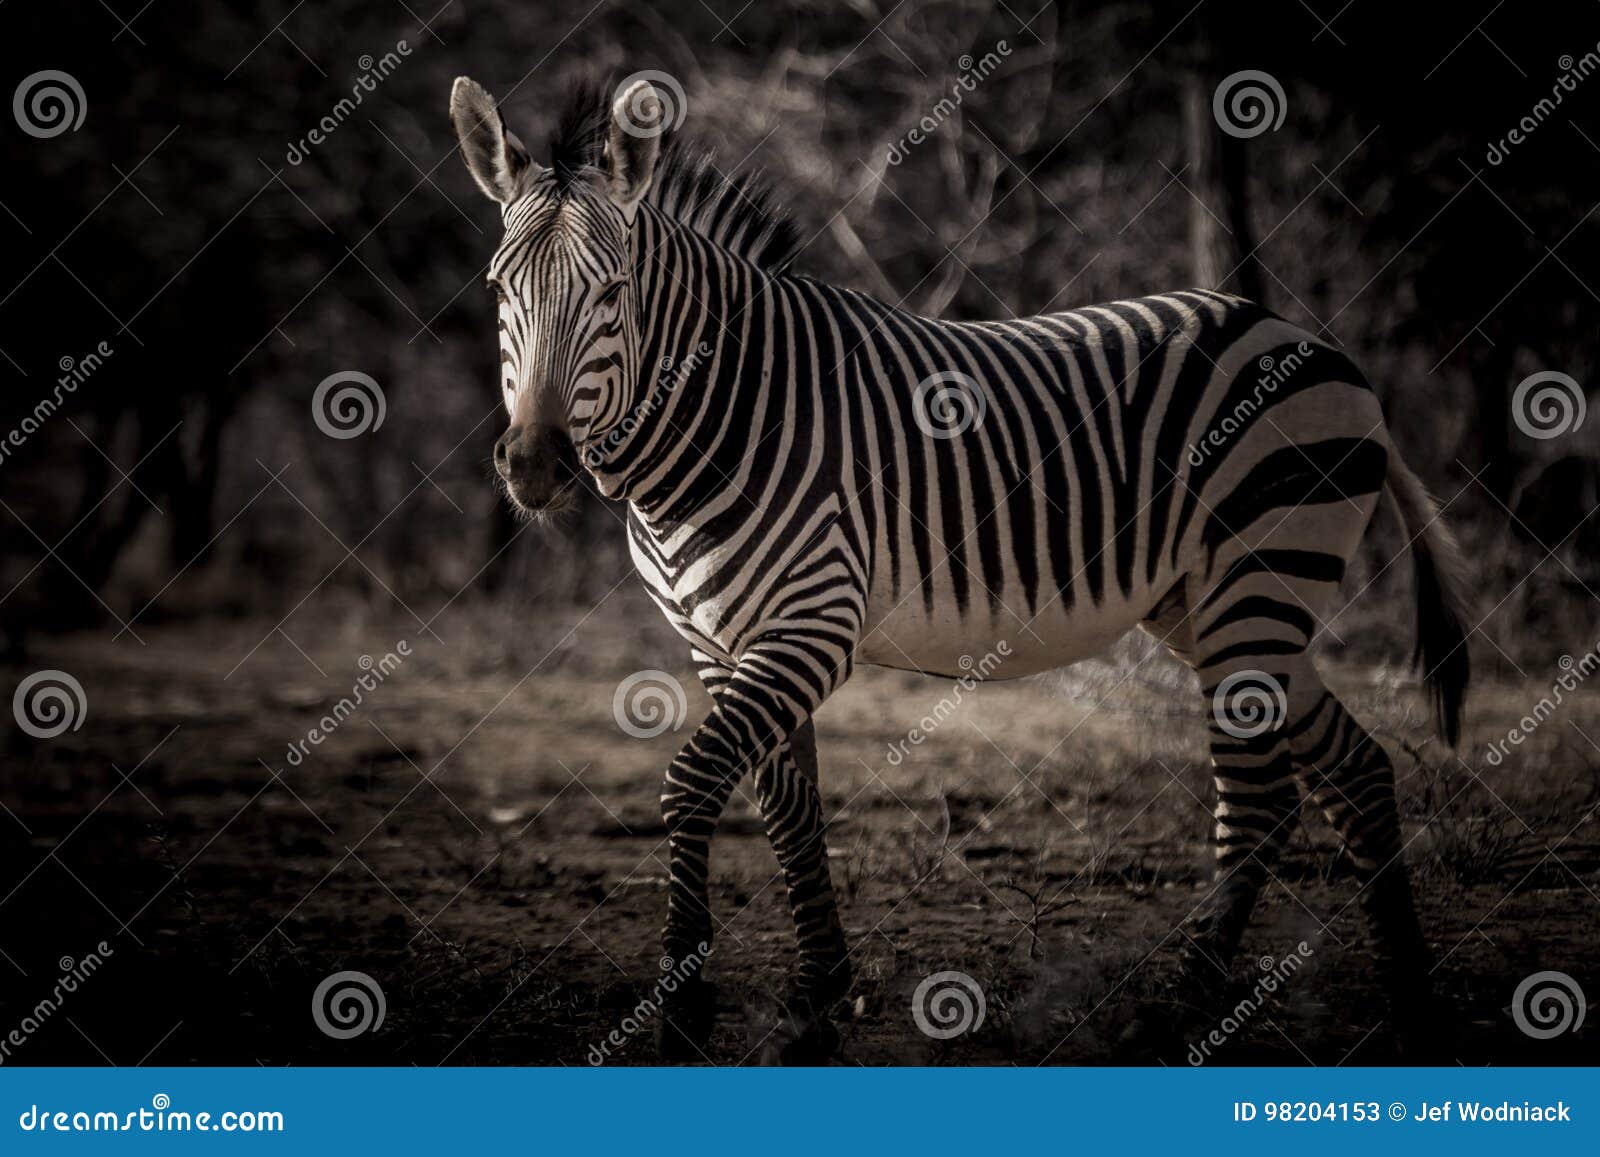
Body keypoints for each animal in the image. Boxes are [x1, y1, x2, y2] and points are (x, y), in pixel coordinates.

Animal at [449, 74, 1470, 1061]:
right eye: (500, 290)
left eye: (612, 291)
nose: (534, 464)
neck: (721, 421)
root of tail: (1314, 343)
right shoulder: (719, 642)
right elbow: (787, 806)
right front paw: (815, 1004)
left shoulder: (811, 626)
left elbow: (693, 783)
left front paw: (688, 1012)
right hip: (1217, 605)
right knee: (1355, 769)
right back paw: (1411, 1003)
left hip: (1257, 580)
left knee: (1259, 799)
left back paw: (1181, 1014)